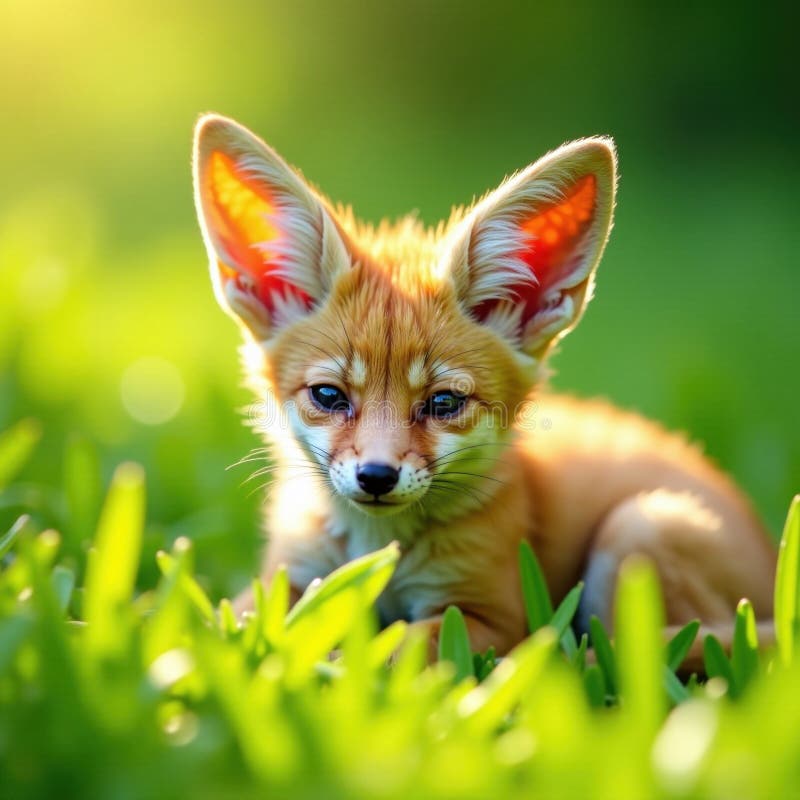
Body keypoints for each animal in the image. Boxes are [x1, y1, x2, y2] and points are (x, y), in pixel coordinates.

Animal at [192, 114, 777, 666]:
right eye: (329, 396)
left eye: (444, 403)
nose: (376, 476)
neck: (379, 550)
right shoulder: (288, 576)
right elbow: (231, 618)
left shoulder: (488, 615)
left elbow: (405, 643)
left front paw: (331, 664)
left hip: (638, 527)